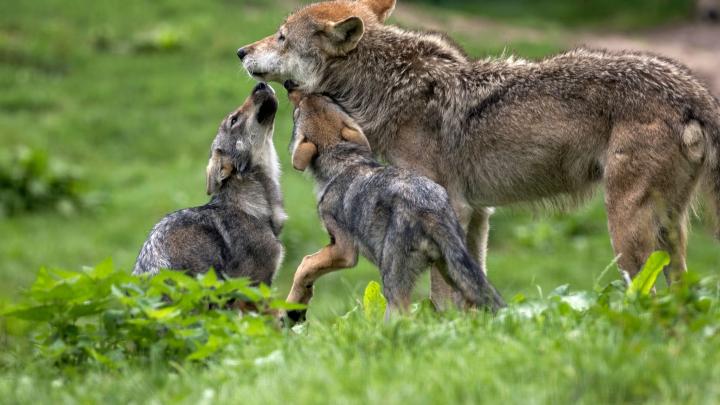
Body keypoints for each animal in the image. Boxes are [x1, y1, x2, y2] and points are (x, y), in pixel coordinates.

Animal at [283, 83, 505, 320]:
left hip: (392, 284)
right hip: (455, 272)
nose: (289, 85)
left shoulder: (344, 250)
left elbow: (305, 265)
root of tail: (431, 211)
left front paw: (292, 305)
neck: (344, 162)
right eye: (325, 97)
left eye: (297, 110)